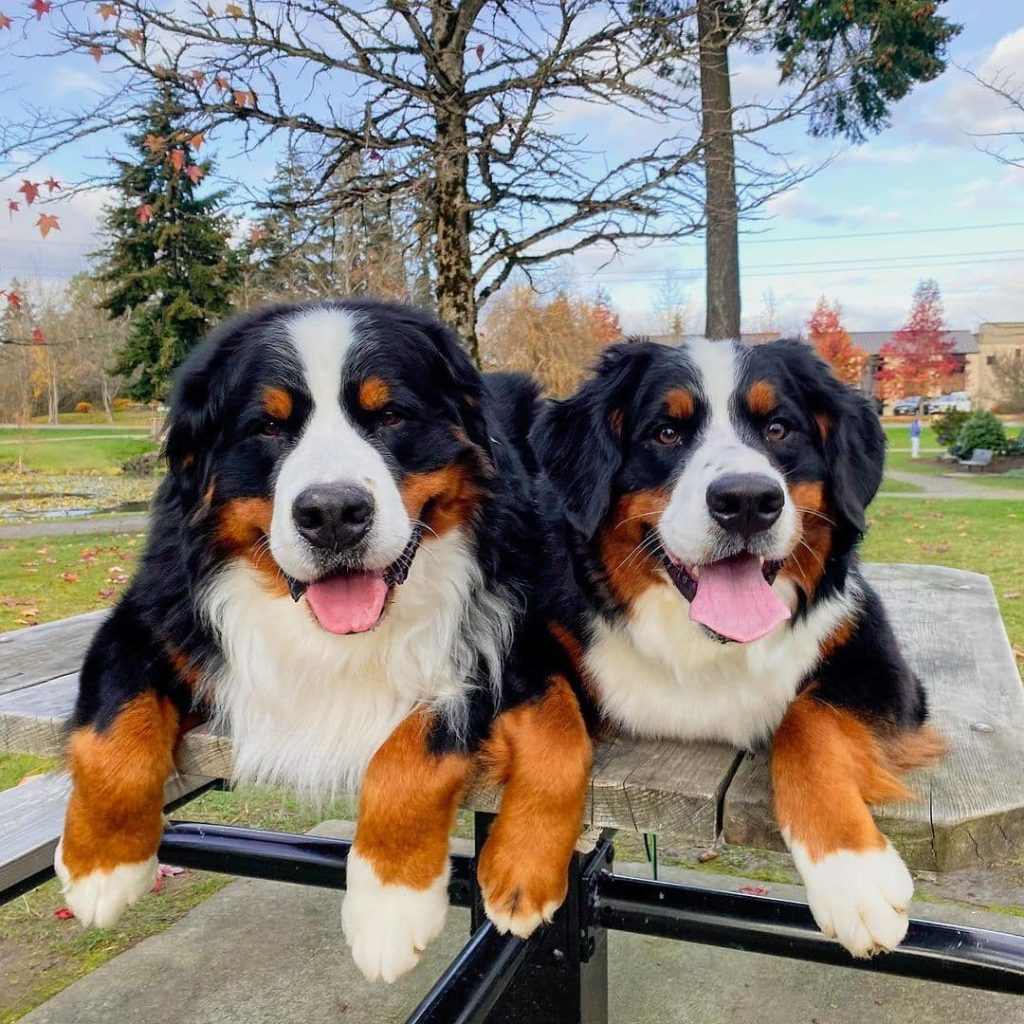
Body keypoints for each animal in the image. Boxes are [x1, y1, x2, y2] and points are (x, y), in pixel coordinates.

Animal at [54, 299, 593, 983]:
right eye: (268, 426)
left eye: (389, 415)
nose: (333, 512)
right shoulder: (149, 614)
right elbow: (111, 725)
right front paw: (101, 866)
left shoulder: (491, 643)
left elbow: (410, 750)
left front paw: (389, 903)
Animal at [536, 337, 942, 958]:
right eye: (666, 433)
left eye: (778, 428)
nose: (747, 499)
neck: (708, 646)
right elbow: (548, 715)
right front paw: (521, 865)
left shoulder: (877, 662)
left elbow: (808, 721)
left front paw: (852, 875)